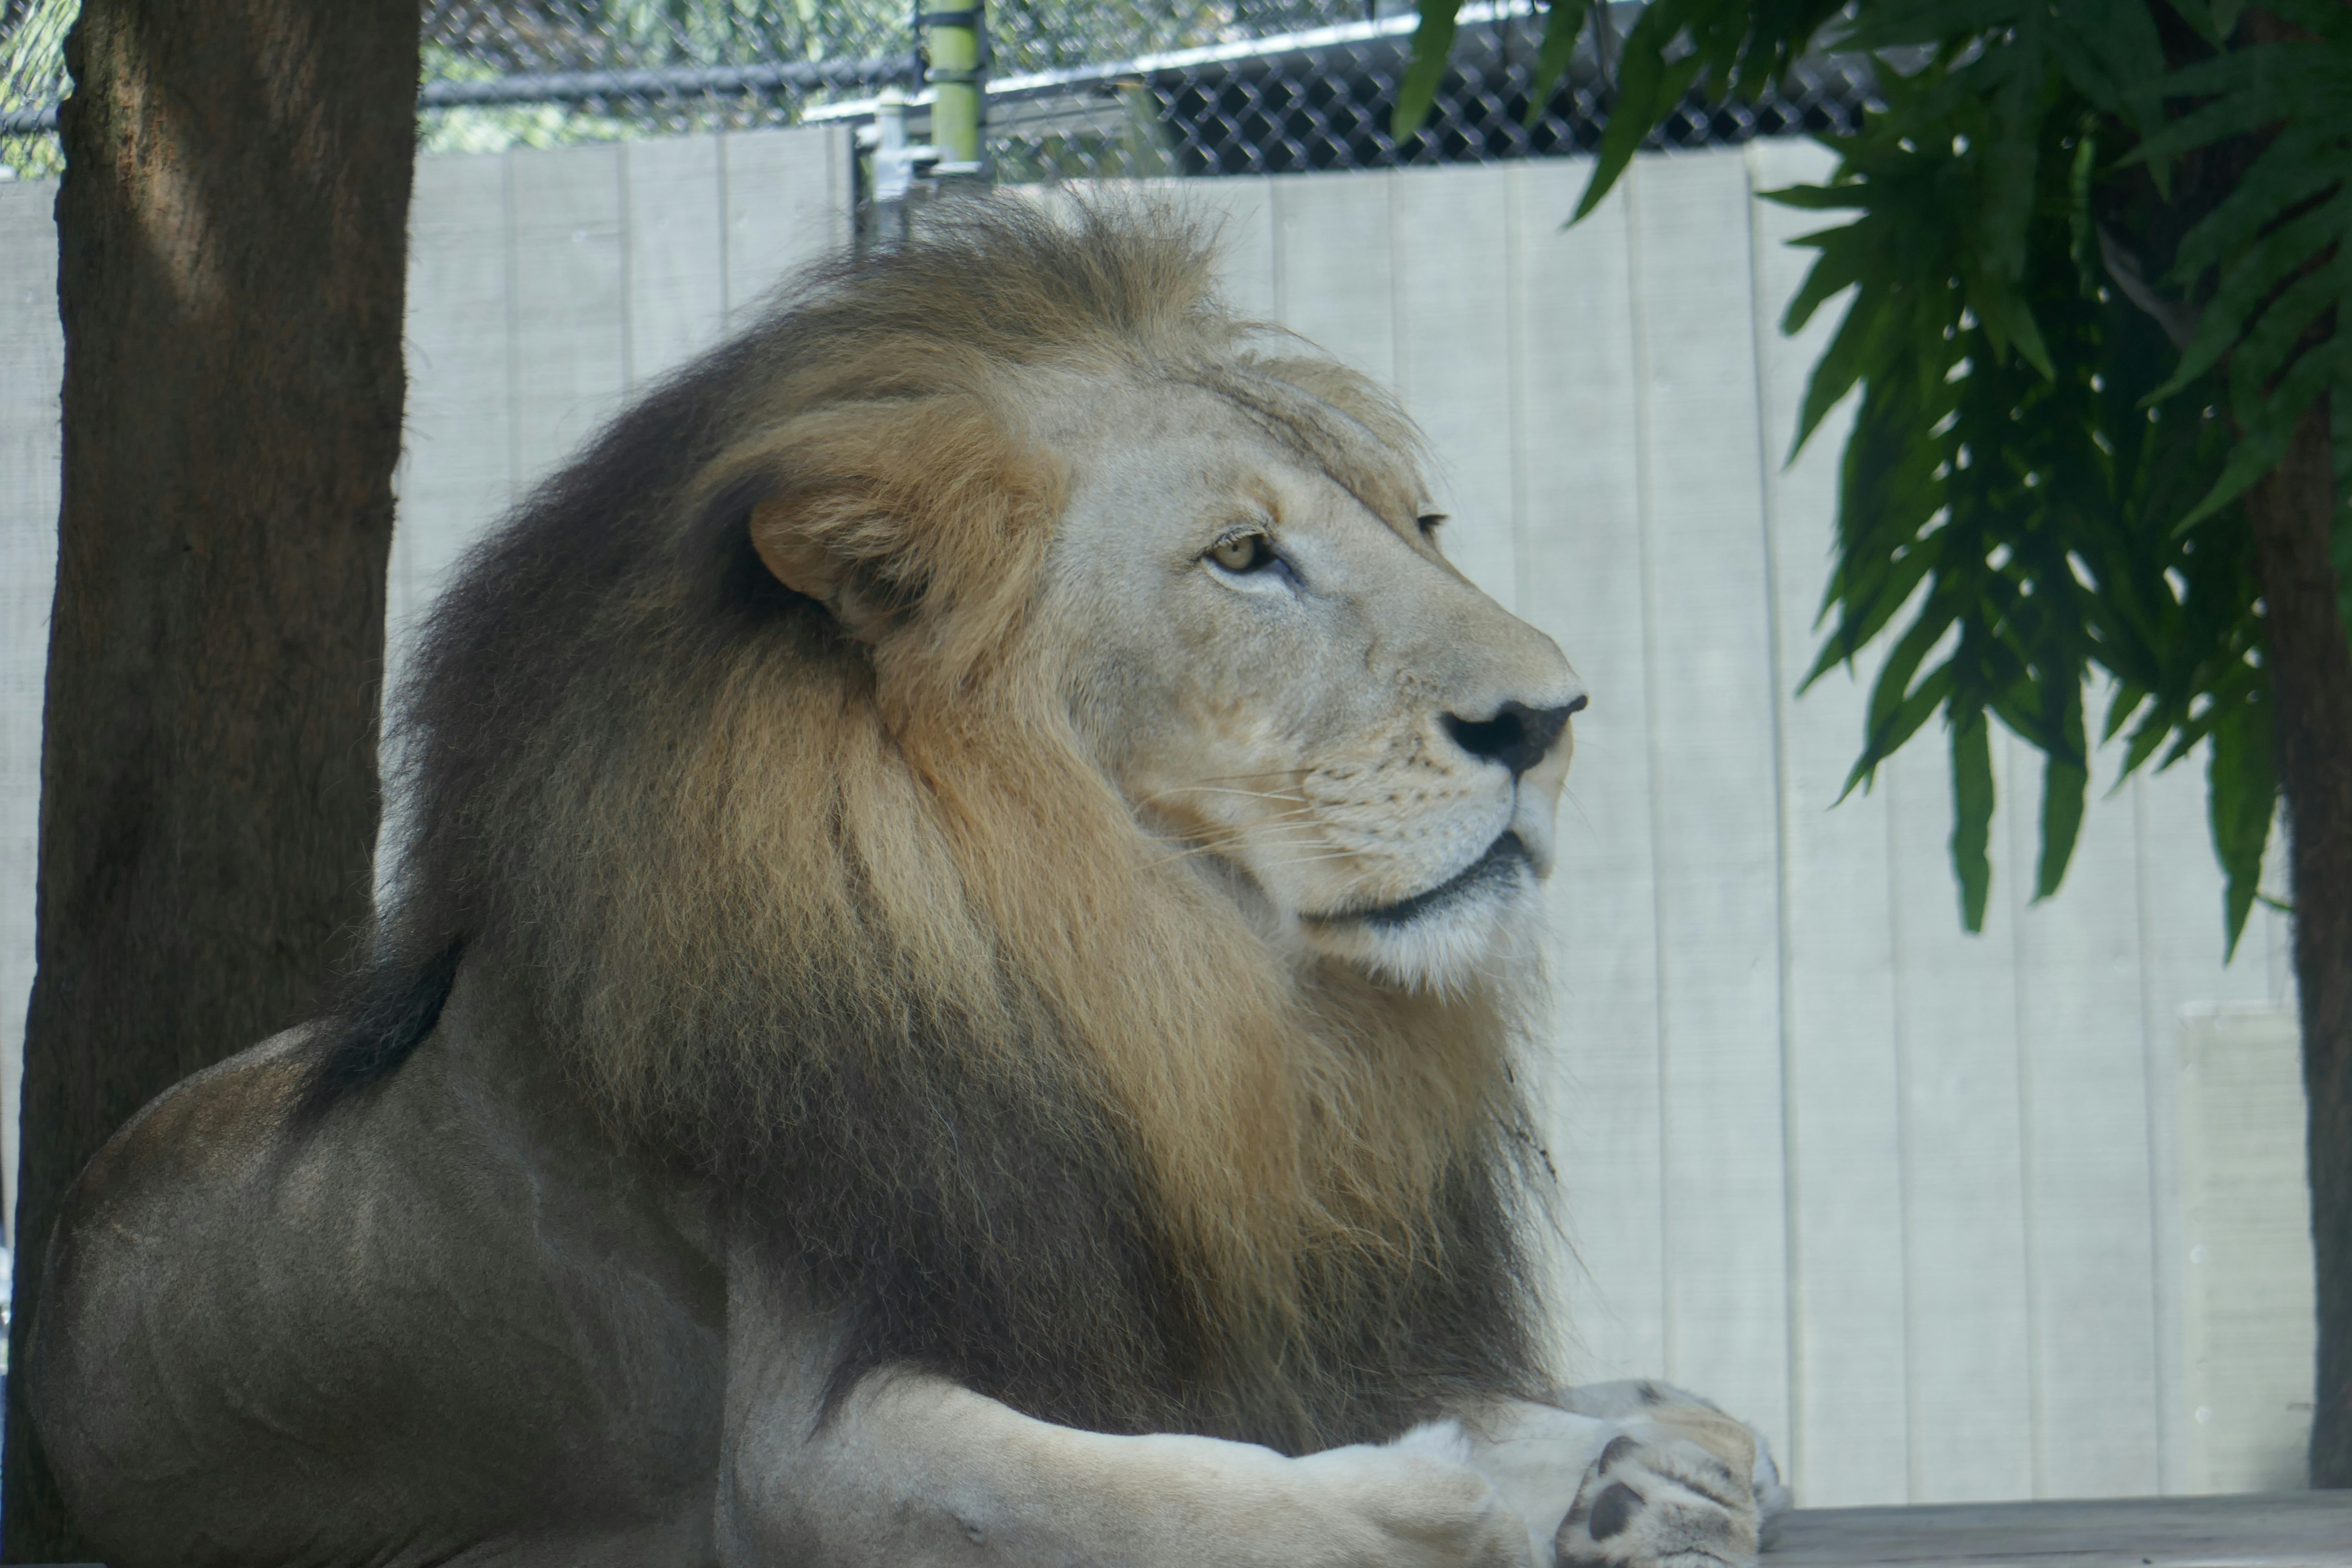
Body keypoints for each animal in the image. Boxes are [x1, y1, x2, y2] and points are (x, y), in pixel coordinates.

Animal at [28, 194, 1787, 1567]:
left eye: (1424, 524)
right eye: (1243, 558)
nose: (1547, 719)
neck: (1143, 977)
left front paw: (1649, 1441)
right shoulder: (805, 1465)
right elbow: (1189, 1496)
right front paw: (1516, 1478)